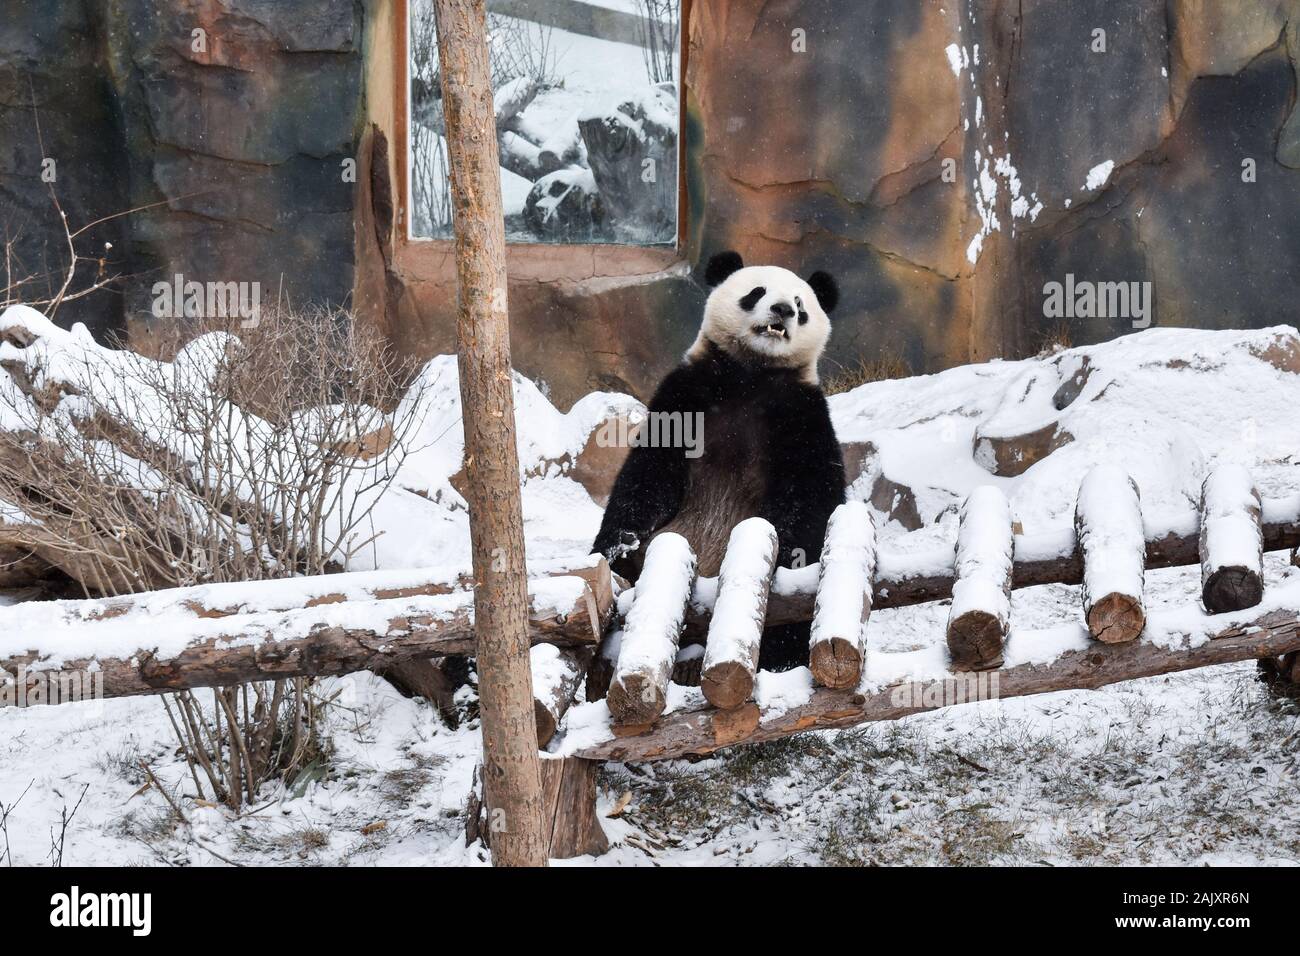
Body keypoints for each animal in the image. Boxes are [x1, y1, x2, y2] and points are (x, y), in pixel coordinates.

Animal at [592, 250, 846, 671]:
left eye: (800, 305)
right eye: (757, 291)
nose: (781, 310)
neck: (751, 376)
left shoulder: (801, 414)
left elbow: (810, 494)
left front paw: (786, 552)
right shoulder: (686, 394)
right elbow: (648, 475)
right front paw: (619, 543)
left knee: (791, 625)